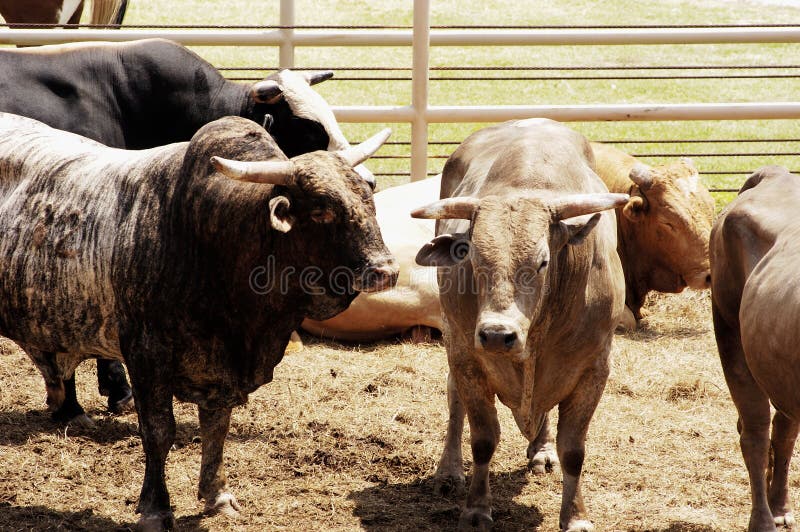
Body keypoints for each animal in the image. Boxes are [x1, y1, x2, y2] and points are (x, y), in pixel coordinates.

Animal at [0, 112, 397, 530]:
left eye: (368, 198)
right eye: (322, 211)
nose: (386, 271)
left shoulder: (221, 369)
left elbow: (217, 428)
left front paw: (217, 494)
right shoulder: (147, 357)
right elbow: (159, 432)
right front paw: (156, 507)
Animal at [410, 118, 627, 531]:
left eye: (542, 262)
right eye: (473, 257)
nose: (497, 335)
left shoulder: (595, 367)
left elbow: (573, 449)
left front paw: (575, 515)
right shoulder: (467, 356)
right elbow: (482, 439)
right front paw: (476, 509)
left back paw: (541, 449)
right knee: (454, 400)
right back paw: (448, 470)